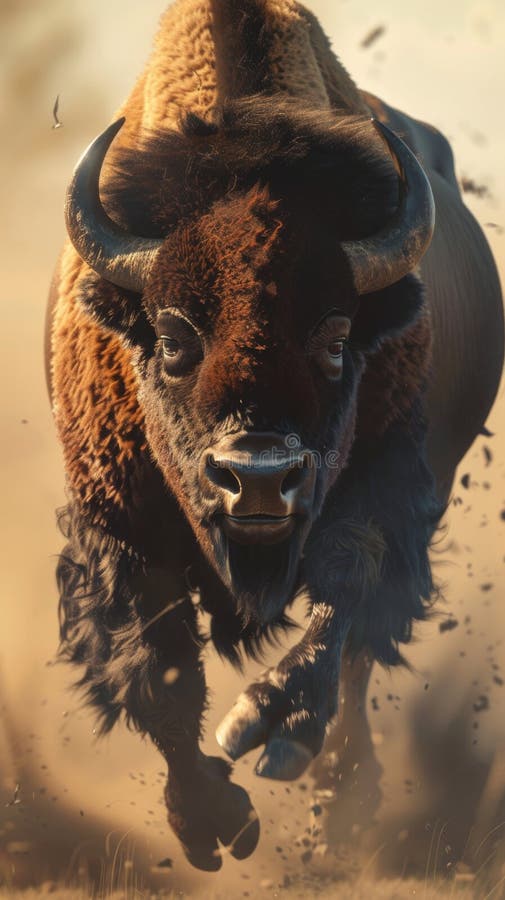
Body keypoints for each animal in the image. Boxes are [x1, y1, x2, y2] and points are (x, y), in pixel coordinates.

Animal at [46, 0, 504, 871]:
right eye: (170, 336)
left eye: (335, 336)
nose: (258, 478)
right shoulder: (120, 530)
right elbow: (155, 669)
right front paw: (212, 821)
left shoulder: (385, 487)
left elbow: (344, 591)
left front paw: (272, 730)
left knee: (358, 657)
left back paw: (343, 798)